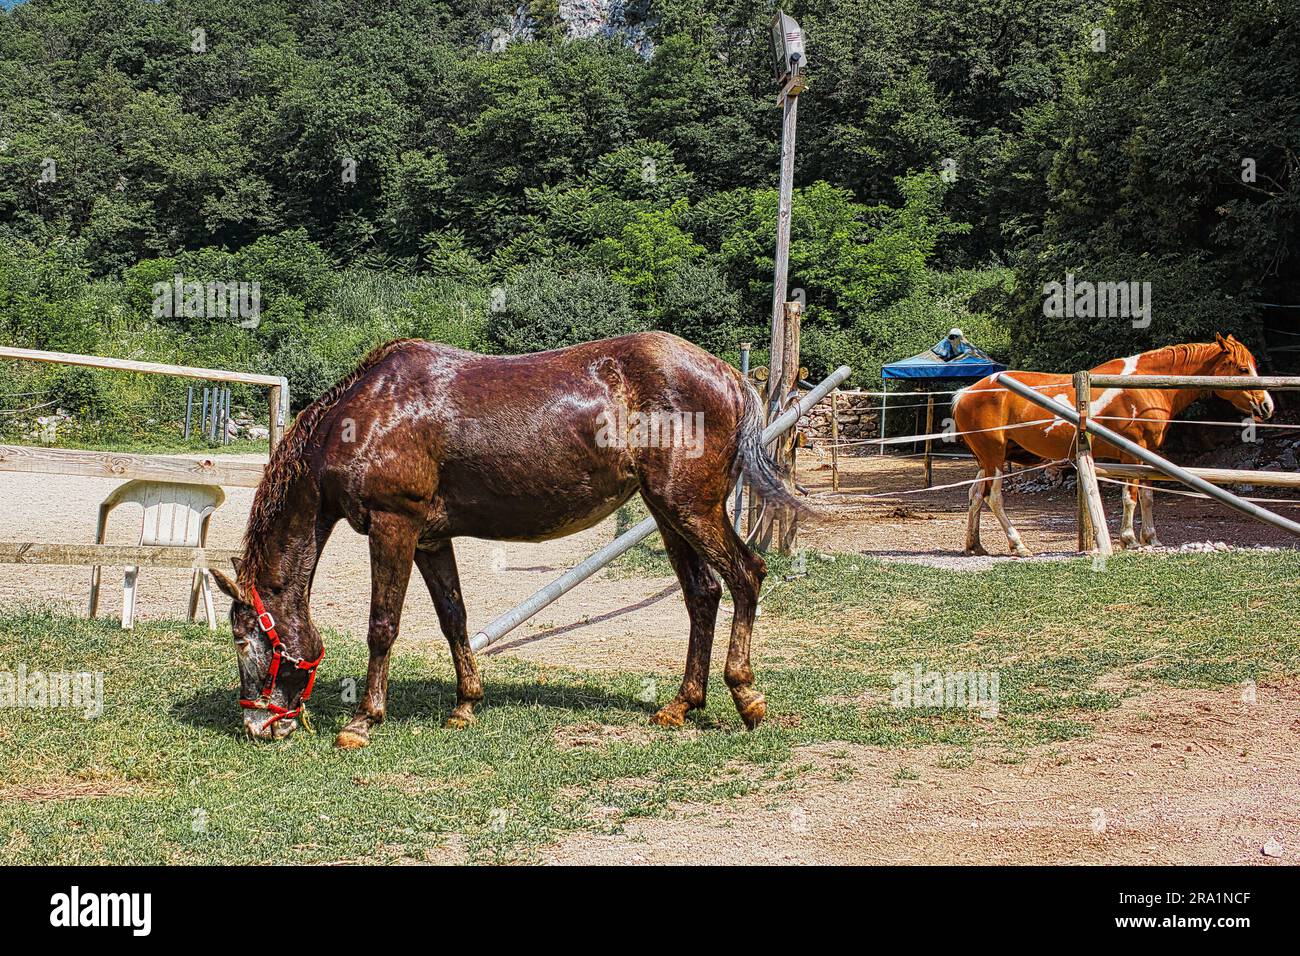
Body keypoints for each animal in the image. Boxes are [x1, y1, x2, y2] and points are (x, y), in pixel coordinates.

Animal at [208, 332, 803, 747]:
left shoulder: (393, 524)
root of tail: (730, 377)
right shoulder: (430, 538)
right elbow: (454, 617)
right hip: (667, 513)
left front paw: (362, 720)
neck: (369, 414)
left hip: (690, 509)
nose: (258, 726)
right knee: (702, 595)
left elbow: (383, 625)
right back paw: (682, 704)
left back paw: (746, 695)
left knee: (746, 575)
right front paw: (465, 704)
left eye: (241, 639)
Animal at [952, 335, 1274, 556]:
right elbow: (1129, 497)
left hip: (987, 460)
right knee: (993, 498)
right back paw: (1018, 545)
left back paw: (974, 545)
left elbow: (1147, 497)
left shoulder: (1147, 455)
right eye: (1242, 368)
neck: (1144, 386)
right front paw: (1129, 539)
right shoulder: (1131, 452)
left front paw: (1151, 538)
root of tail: (965, 393)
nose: (1267, 405)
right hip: (994, 458)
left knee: (974, 496)